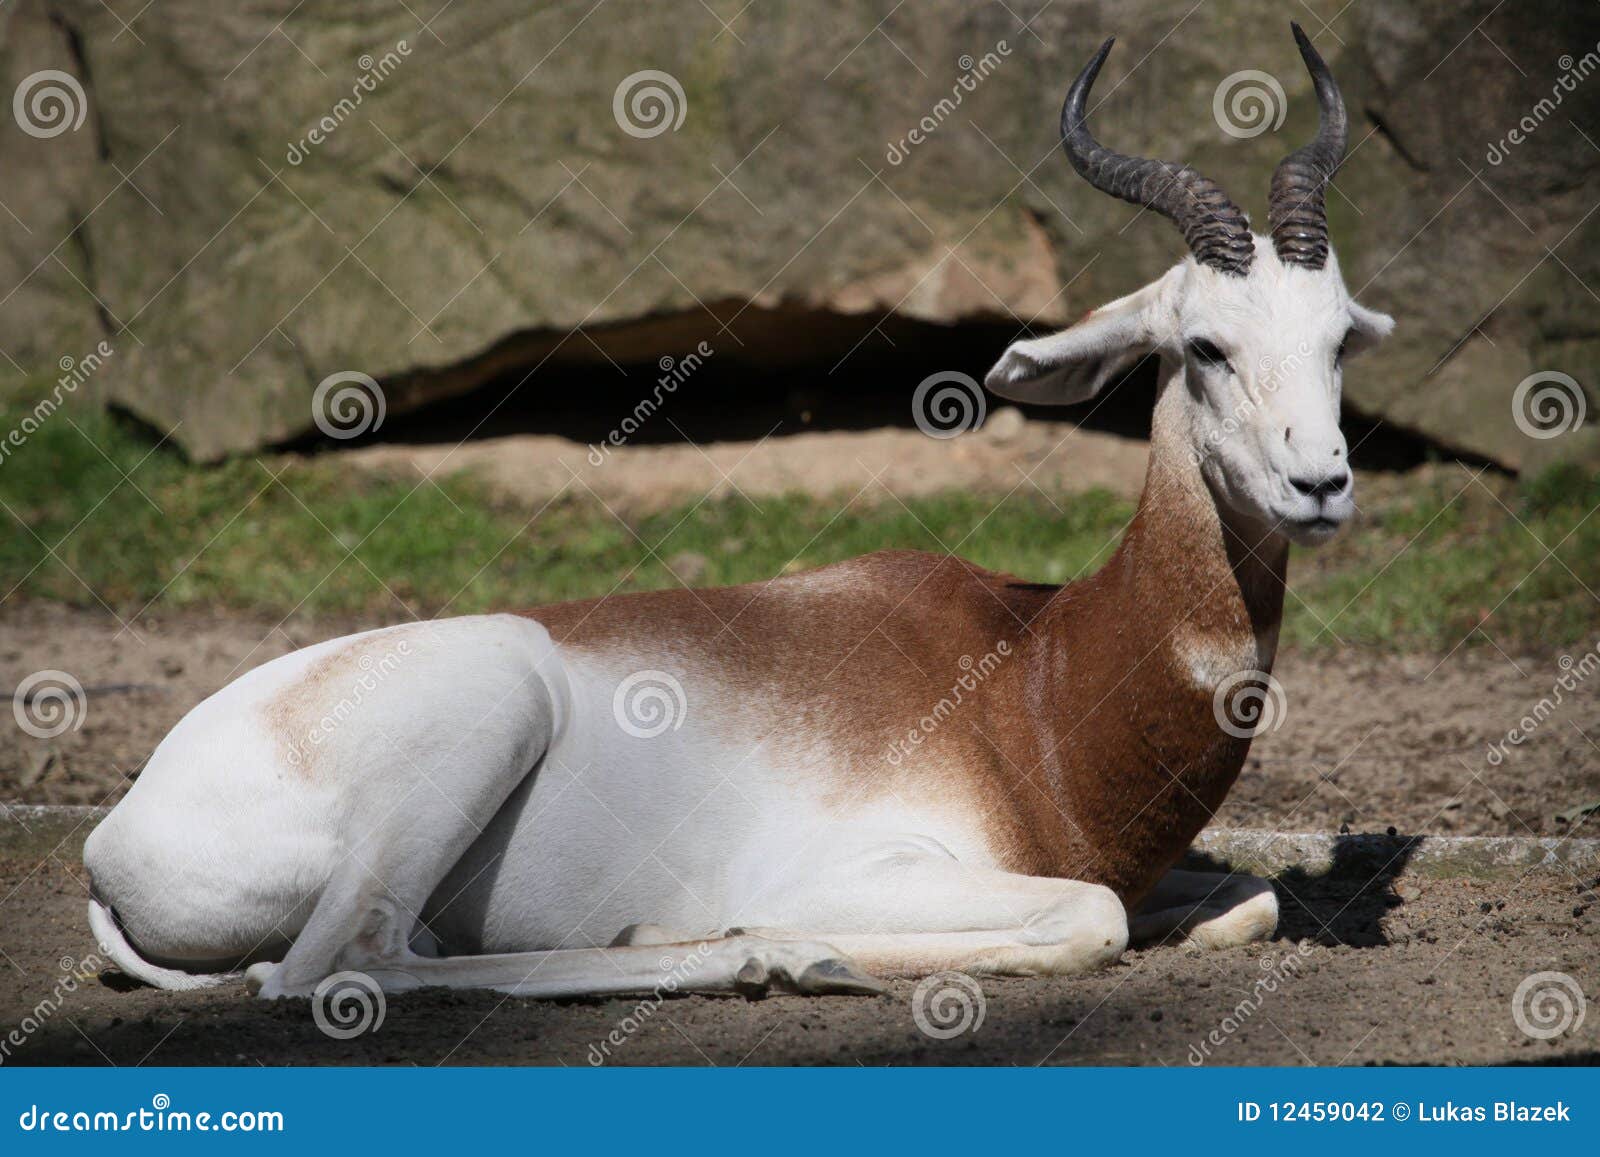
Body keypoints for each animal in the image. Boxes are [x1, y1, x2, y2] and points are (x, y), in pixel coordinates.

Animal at [83, 25, 1391, 1002]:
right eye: (1205, 346)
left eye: (1336, 337)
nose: (1321, 484)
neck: (1031, 681)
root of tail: (113, 836)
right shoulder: (877, 866)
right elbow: (1093, 915)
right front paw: (788, 936)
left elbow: (1247, 896)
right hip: (491, 704)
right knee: (333, 969)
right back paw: (763, 952)